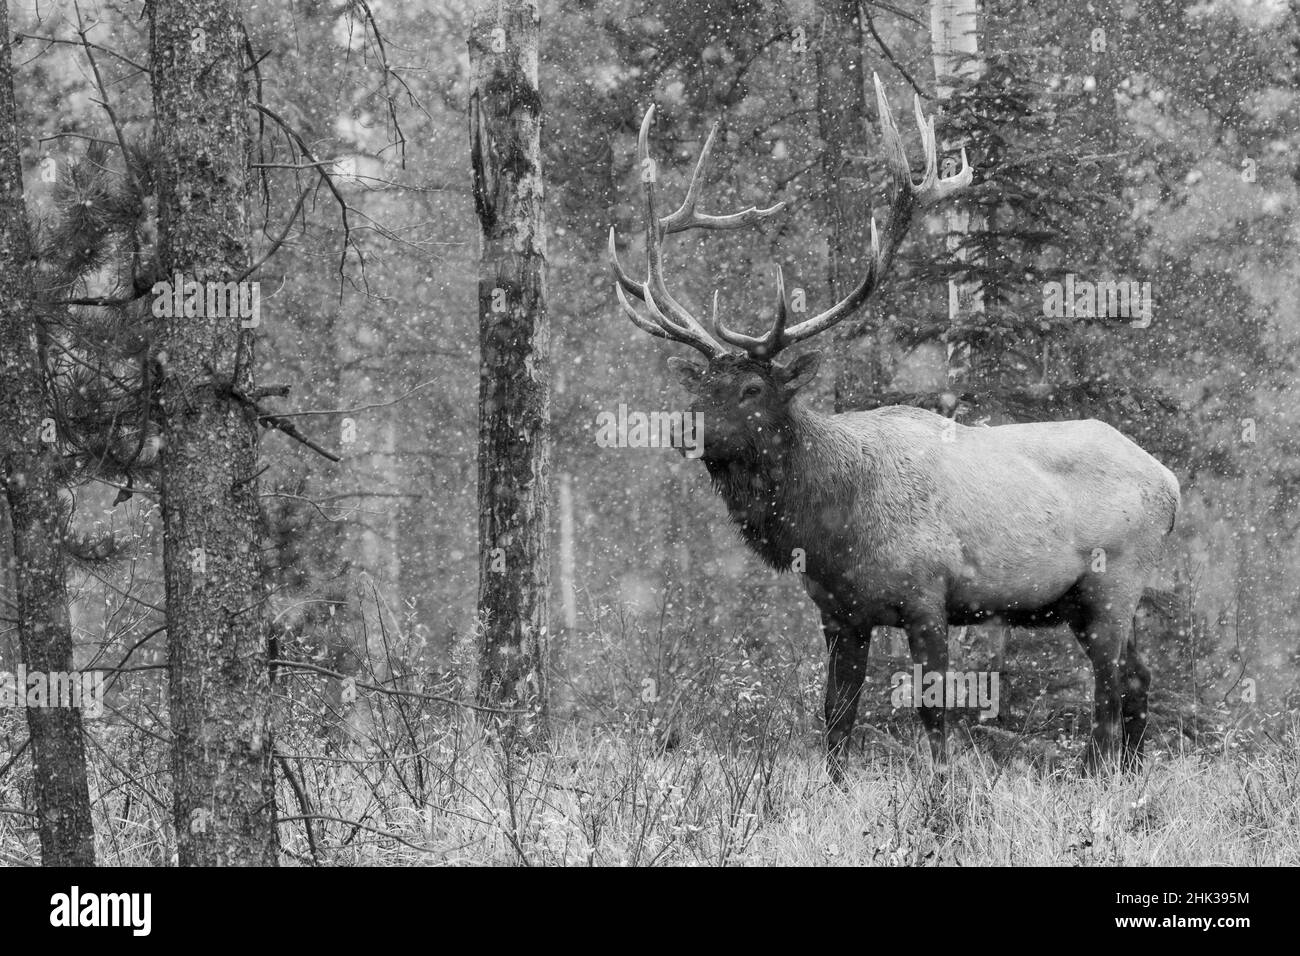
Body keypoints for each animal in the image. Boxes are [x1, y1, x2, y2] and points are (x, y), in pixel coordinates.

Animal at [608, 76, 1181, 784]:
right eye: (700, 386)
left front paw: (941, 788)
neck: (829, 529)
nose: (683, 431)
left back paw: (1096, 775)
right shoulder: (839, 613)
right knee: (1138, 679)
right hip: (1090, 600)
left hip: (1116, 579)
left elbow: (934, 713)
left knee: (1108, 688)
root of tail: (1171, 484)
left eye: (752, 388)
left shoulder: (929, 594)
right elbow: (835, 719)